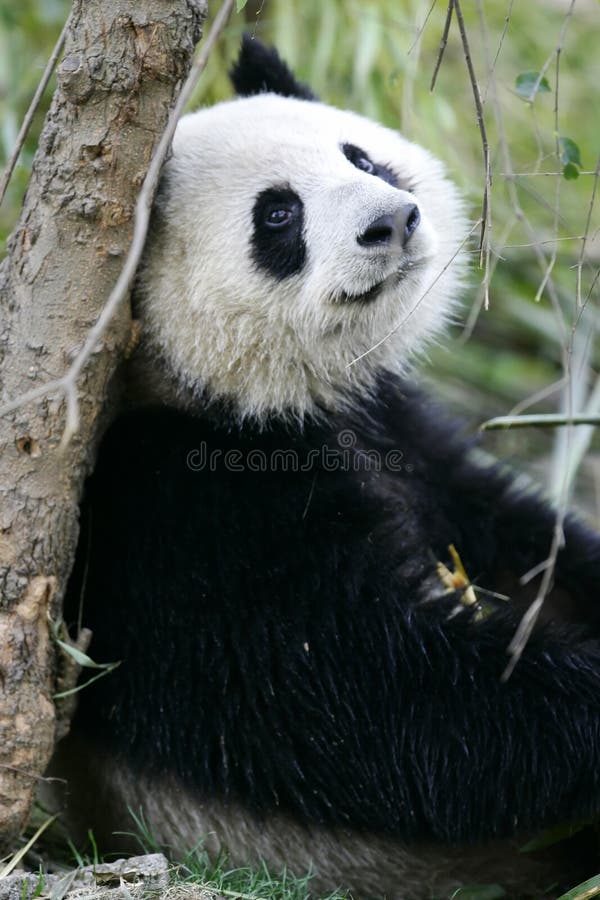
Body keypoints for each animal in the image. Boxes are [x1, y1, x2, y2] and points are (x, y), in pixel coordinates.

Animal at [49, 36, 600, 900]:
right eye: (278, 213)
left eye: (362, 157)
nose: (393, 220)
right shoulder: (179, 510)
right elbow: (379, 709)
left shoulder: (403, 431)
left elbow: (529, 540)